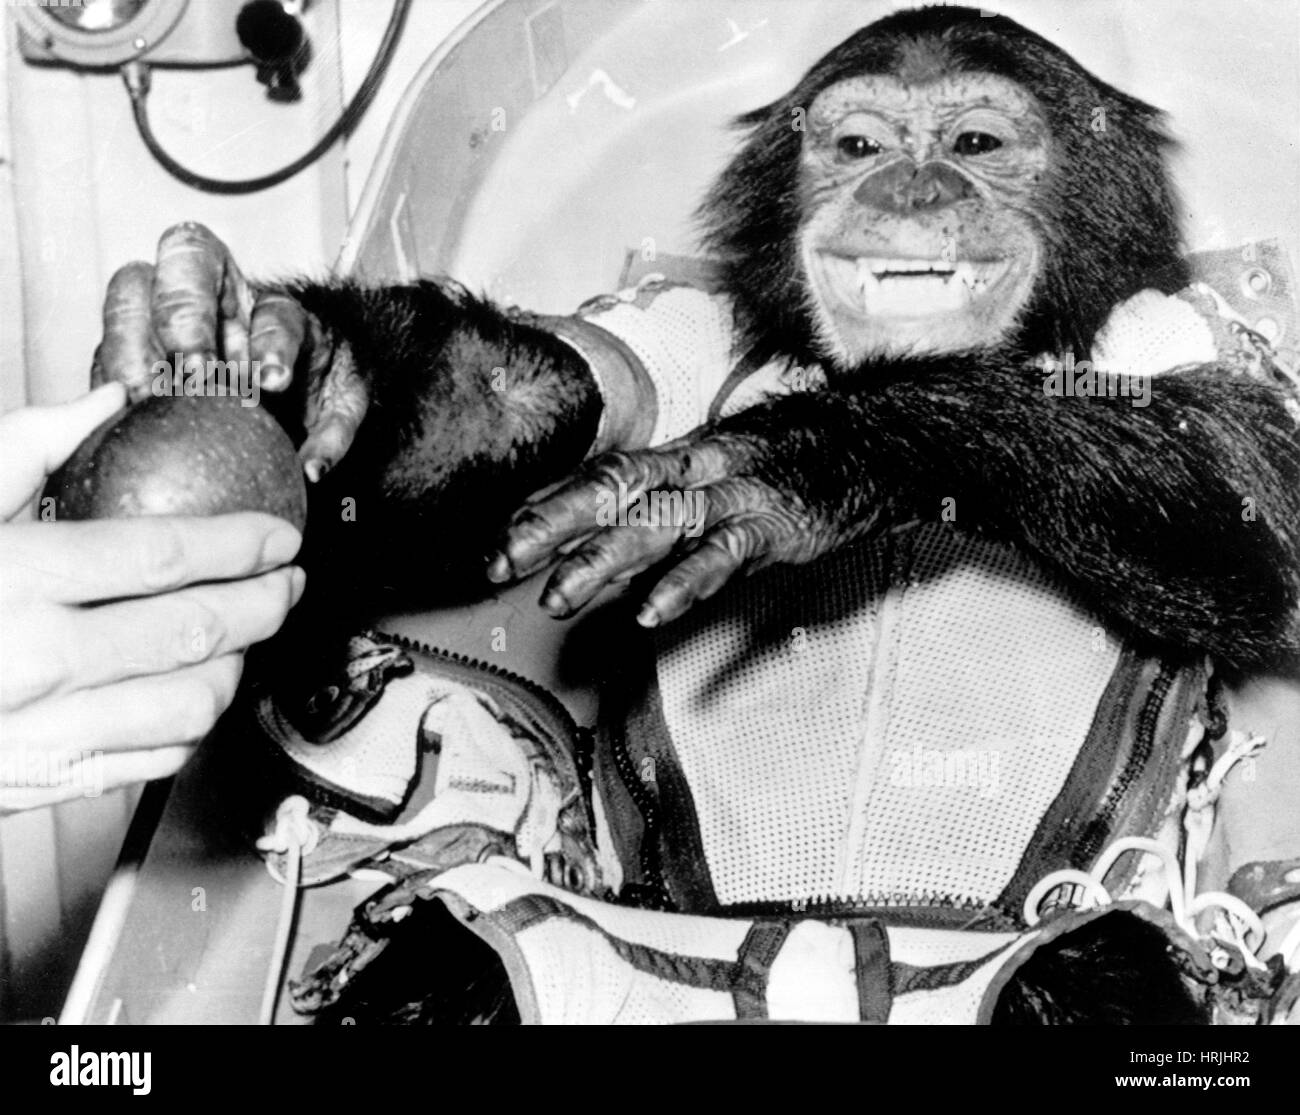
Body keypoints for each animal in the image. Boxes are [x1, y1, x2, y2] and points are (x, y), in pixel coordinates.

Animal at [101, 7, 1300, 1023]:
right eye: (857, 145)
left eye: (974, 141)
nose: (908, 191)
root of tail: (810, 937)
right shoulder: (666, 330)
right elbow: (520, 390)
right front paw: (315, 369)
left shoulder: (1188, 329)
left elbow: (1254, 487)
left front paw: (803, 458)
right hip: (577, 944)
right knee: (442, 962)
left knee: (1091, 975)